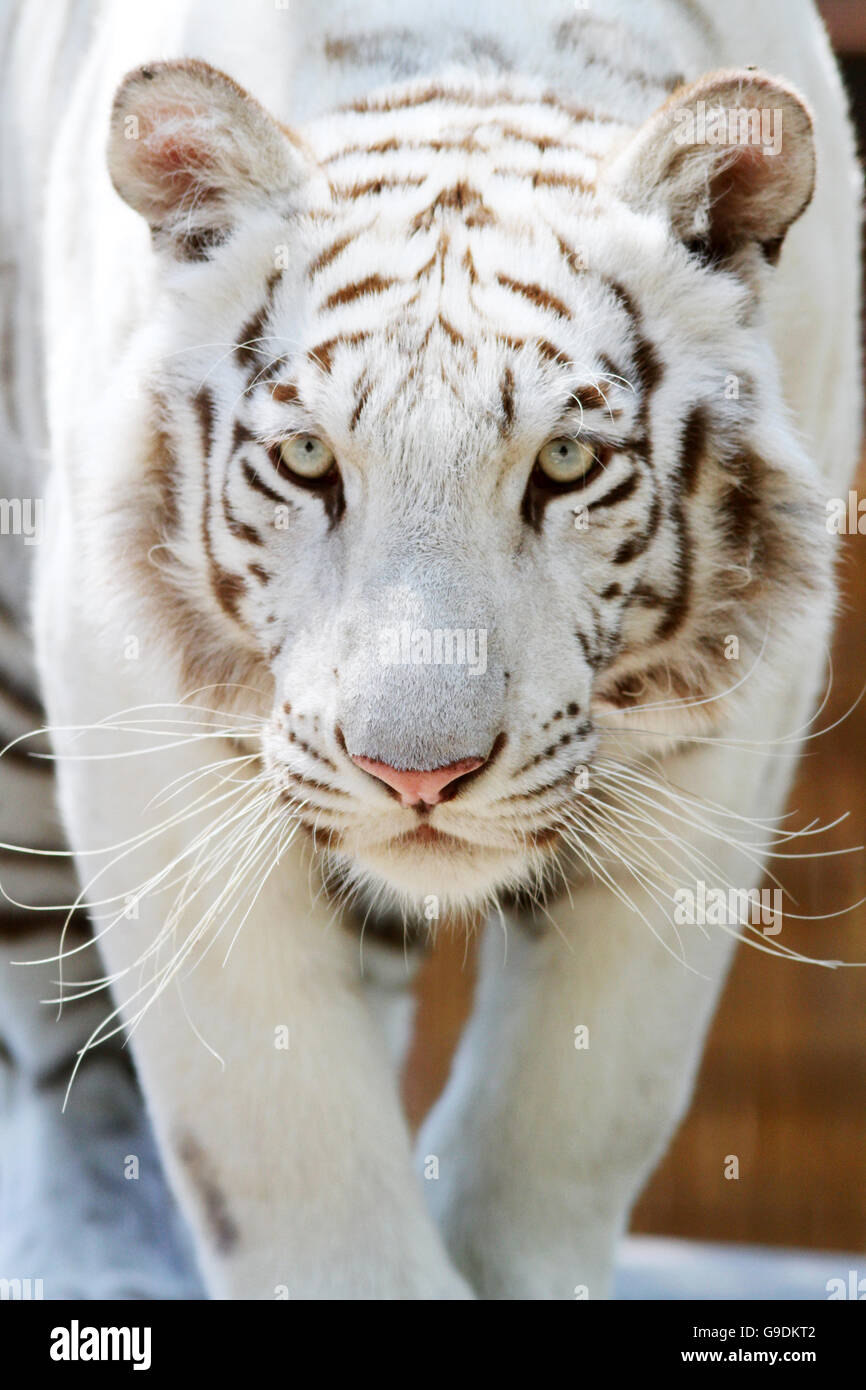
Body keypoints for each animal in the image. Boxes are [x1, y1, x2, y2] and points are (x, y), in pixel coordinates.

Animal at [0, 0, 860, 1300]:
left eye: (564, 463)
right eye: (307, 458)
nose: (418, 777)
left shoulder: (730, 726)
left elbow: (573, 1112)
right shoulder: (138, 714)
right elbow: (290, 1159)